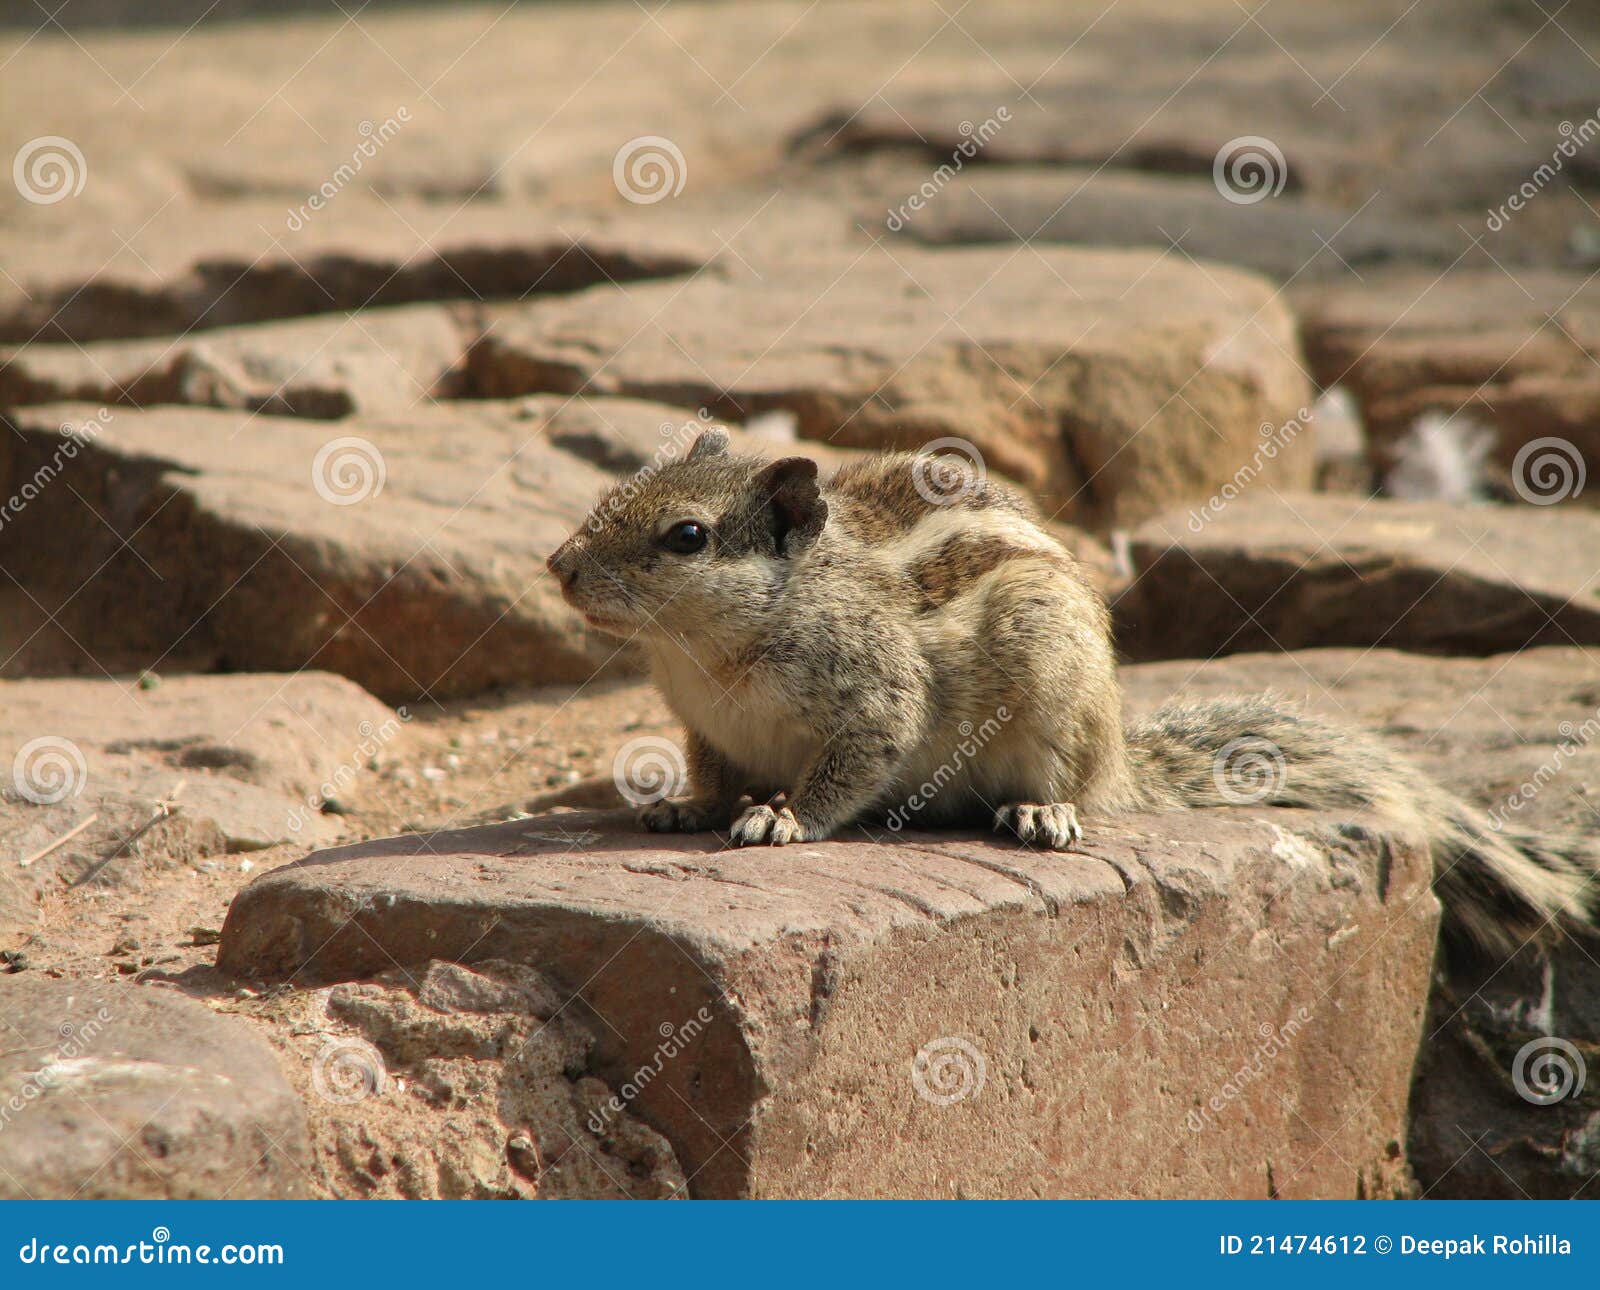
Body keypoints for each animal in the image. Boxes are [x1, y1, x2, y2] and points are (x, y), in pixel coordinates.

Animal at [547, 427, 1599, 956]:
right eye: (613, 493)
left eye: (686, 537)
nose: (557, 567)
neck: (707, 649)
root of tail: (1119, 757)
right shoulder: (707, 728)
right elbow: (713, 773)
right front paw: (688, 809)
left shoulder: (877, 703)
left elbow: (847, 772)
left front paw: (783, 818)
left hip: (1050, 697)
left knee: (1062, 789)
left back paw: (1042, 815)